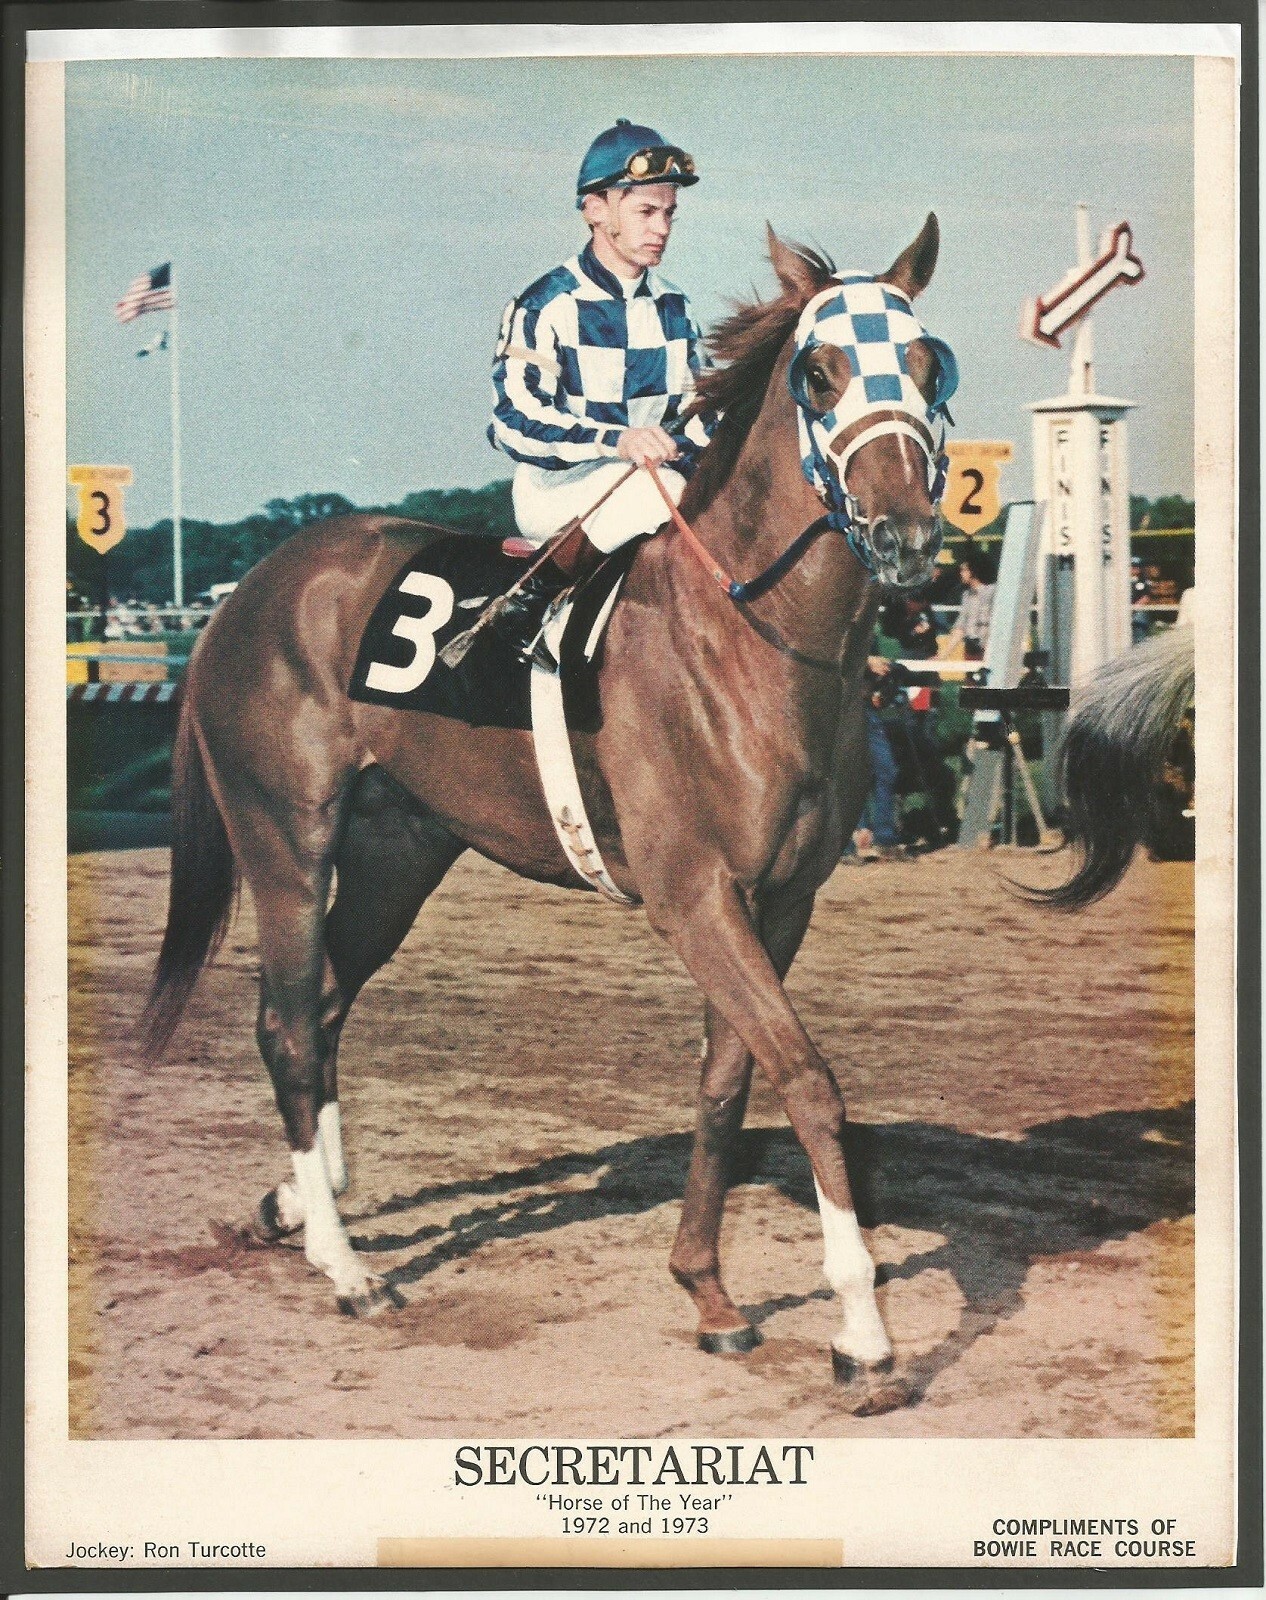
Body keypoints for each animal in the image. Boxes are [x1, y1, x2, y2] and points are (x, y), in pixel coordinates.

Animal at [143, 217, 953, 1407]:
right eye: (820, 370)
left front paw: (708, 1294)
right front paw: (863, 1331)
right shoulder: (693, 897)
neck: (749, 642)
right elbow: (807, 1079)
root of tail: (245, 593)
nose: (903, 535)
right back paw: (347, 1269)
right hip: (287, 835)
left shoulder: (781, 899)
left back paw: (298, 1200)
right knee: (288, 1021)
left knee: (327, 1003)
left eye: (933, 364)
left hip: (398, 850)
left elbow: (727, 1081)